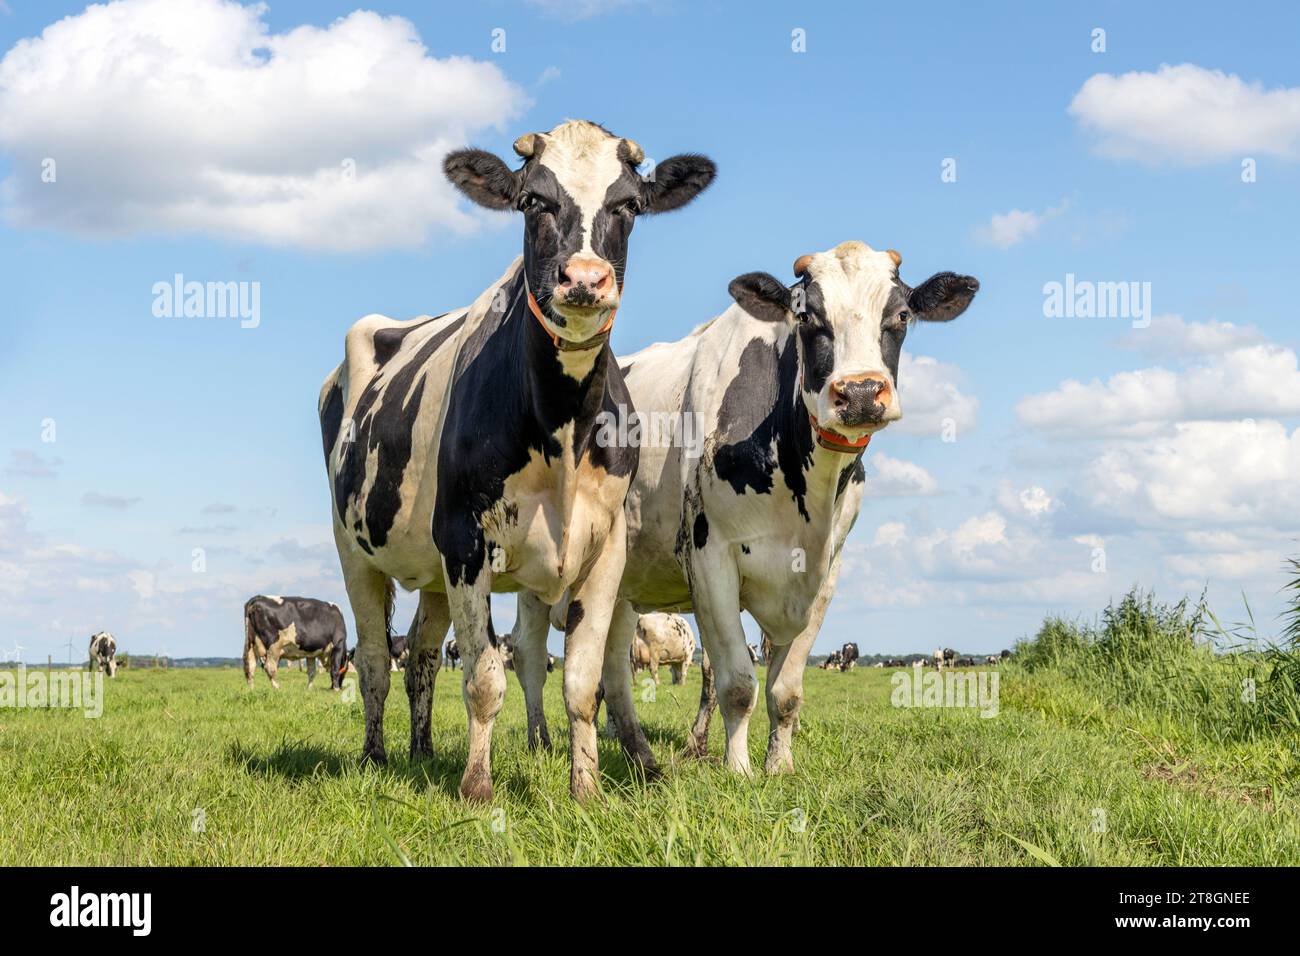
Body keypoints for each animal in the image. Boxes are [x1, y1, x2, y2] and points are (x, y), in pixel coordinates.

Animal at [320, 120, 715, 801]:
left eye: (629, 205)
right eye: (533, 200)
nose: (584, 278)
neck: (563, 428)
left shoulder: (606, 547)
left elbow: (583, 681)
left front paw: (586, 788)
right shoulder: (465, 540)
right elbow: (484, 679)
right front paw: (477, 787)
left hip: (431, 570)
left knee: (420, 654)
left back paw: (422, 751)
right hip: (357, 550)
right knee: (373, 658)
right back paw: (375, 755)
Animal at [513, 241, 977, 776]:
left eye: (901, 315)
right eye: (806, 315)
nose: (860, 392)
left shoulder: (825, 571)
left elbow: (786, 690)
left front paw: (780, 766)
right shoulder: (709, 555)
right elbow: (736, 682)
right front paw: (738, 769)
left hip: (623, 579)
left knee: (612, 665)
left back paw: (642, 758)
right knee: (528, 656)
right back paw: (540, 742)